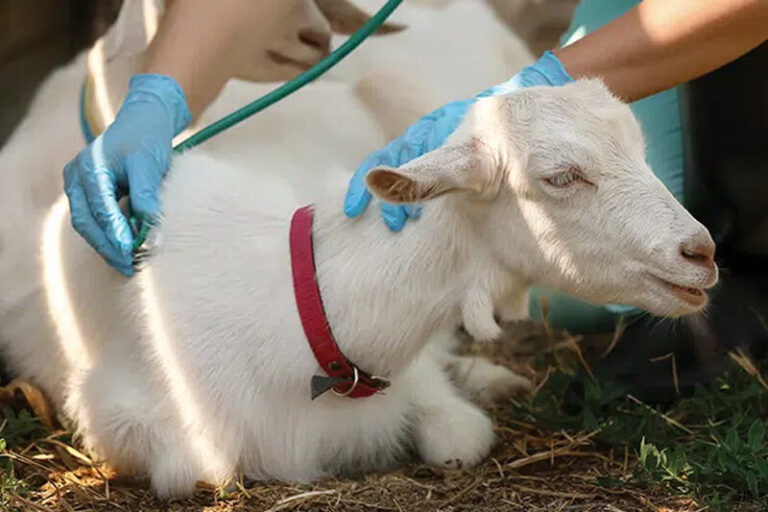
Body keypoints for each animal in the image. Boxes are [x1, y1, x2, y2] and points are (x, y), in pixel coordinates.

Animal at [0, 79, 718, 497]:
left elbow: (460, 437)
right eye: (561, 177)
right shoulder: (115, 404)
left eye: (642, 151)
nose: (702, 253)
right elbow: (196, 470)